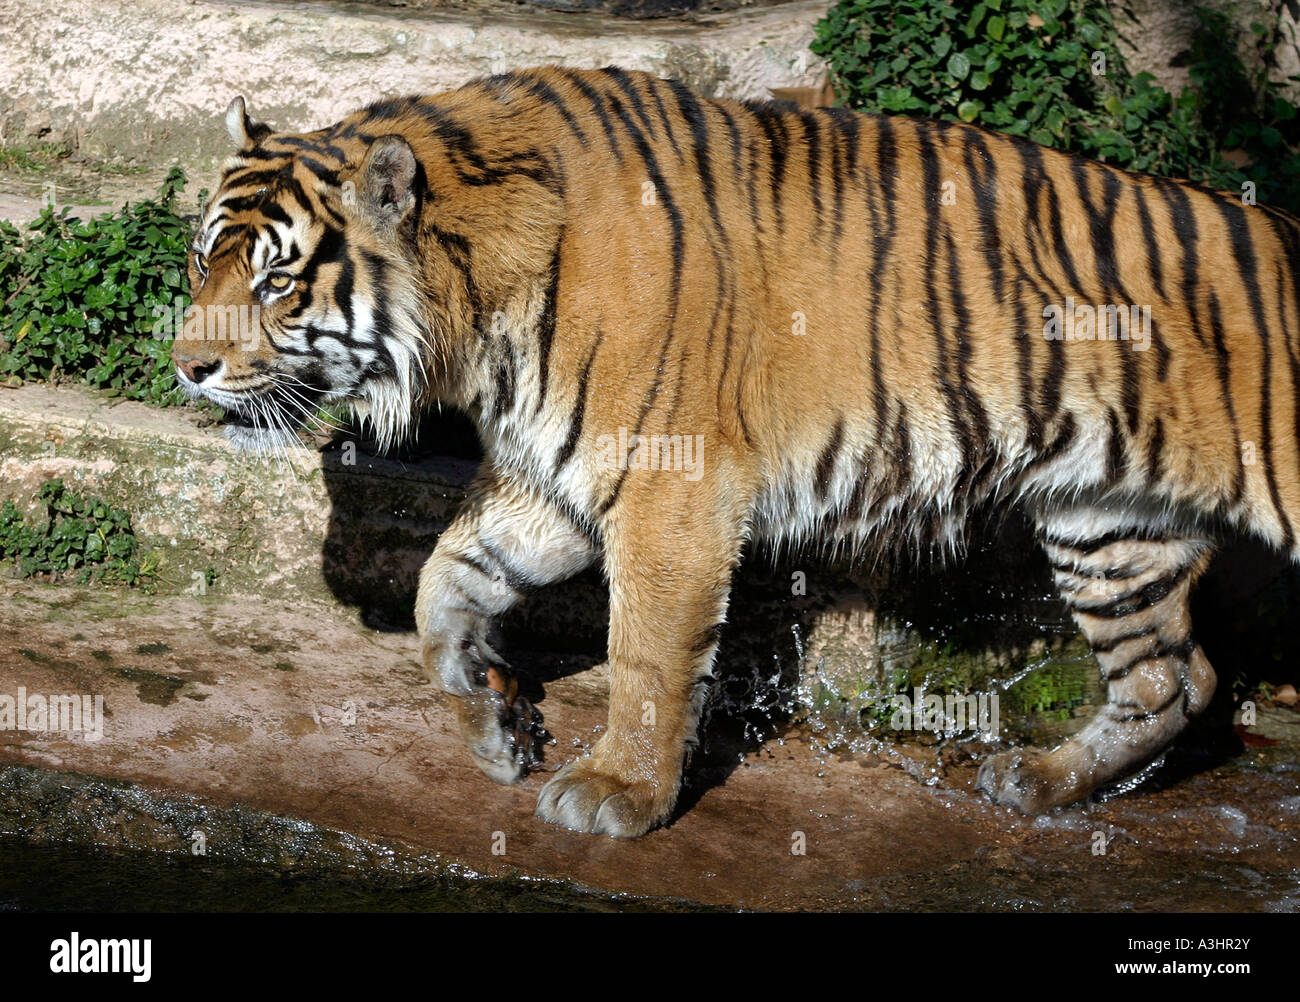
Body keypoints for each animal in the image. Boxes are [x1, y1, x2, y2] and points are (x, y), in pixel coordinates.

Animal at [172, 65, 1300, 838]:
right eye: (200, 263)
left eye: (275, 283)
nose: (186, 368)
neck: (478, 299)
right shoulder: (559, 475)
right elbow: (443, 582)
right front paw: (490, 716)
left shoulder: (669, 485)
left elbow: (646, 653)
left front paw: (617, 791)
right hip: (1110, 525)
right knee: (1173, 679)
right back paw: (1038, 782)